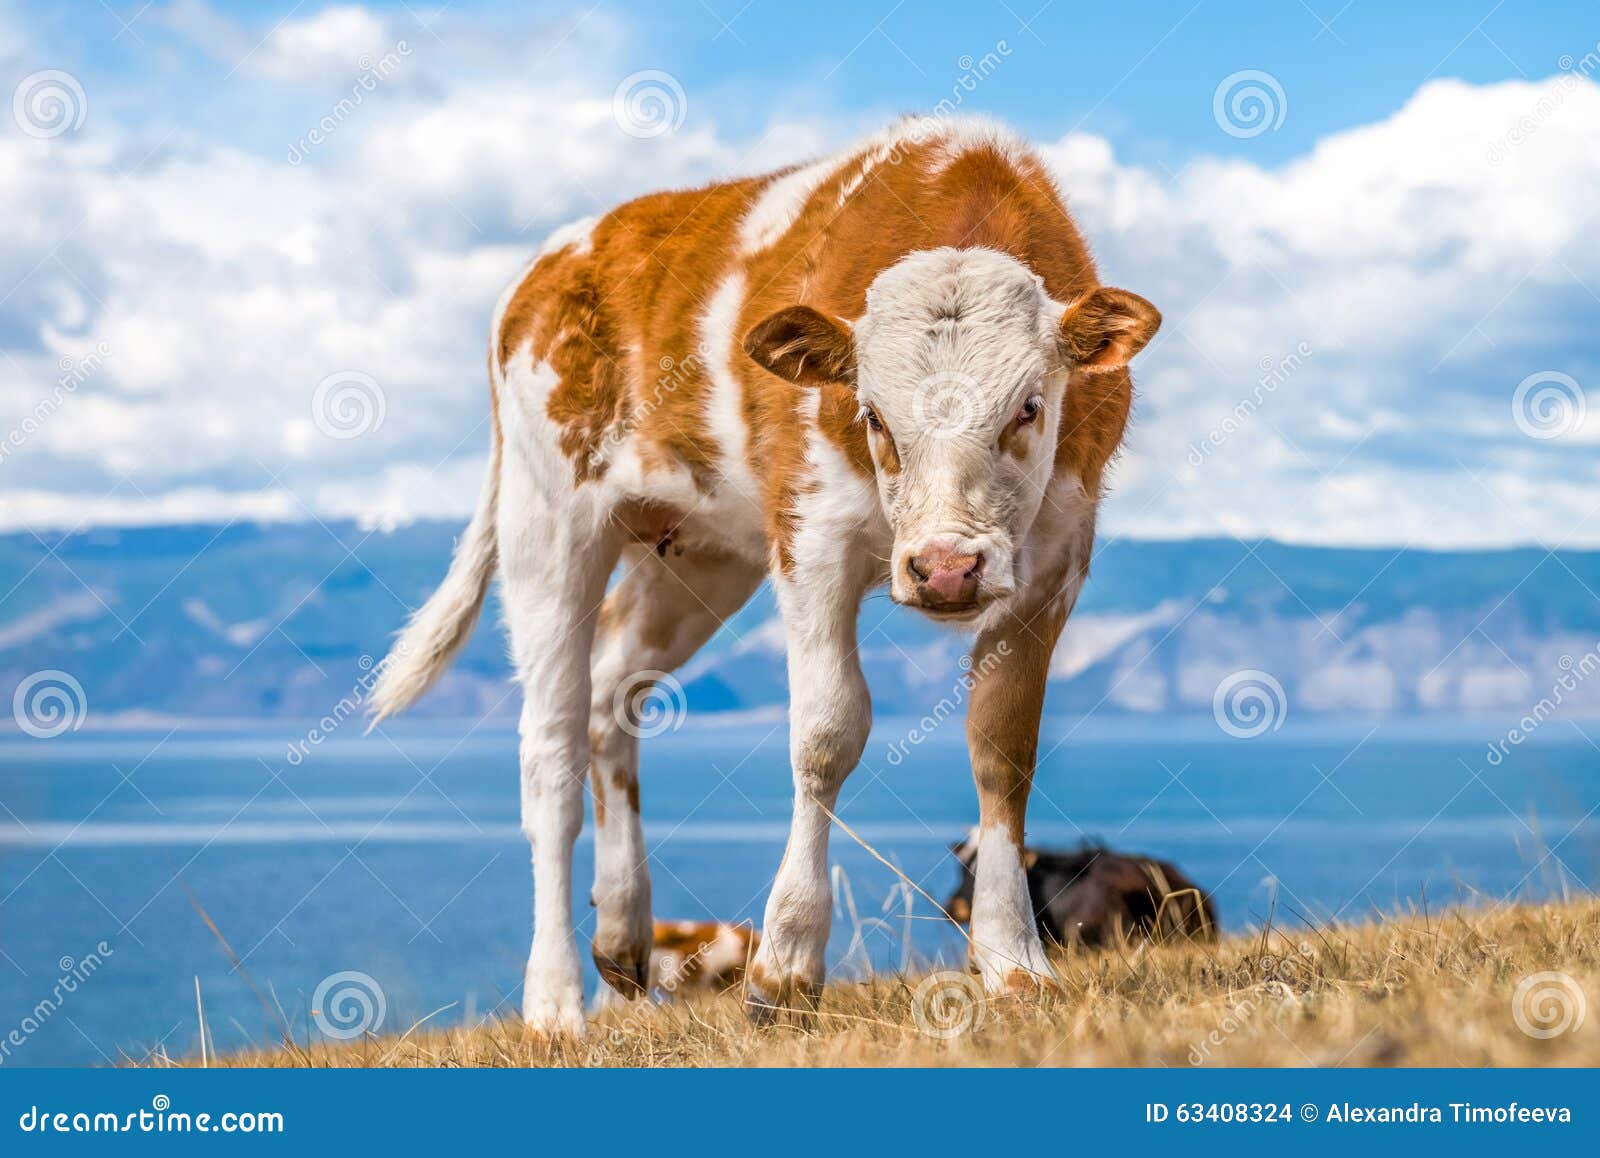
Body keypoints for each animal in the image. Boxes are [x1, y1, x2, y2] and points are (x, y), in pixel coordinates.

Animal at [368, 115, 1162, 1036]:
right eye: (873, 415)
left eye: (1030, 406)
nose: (944, 569)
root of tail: (555, 261)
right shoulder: (811, 537)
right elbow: (826, 732)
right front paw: (785, 965)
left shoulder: (1053, 559)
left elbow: (1003, 745)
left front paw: (1012, 964)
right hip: (547, 519)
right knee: (550, 751)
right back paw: (555, 1000)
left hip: (700, 559)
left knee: (611, 685)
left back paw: (623, 931)